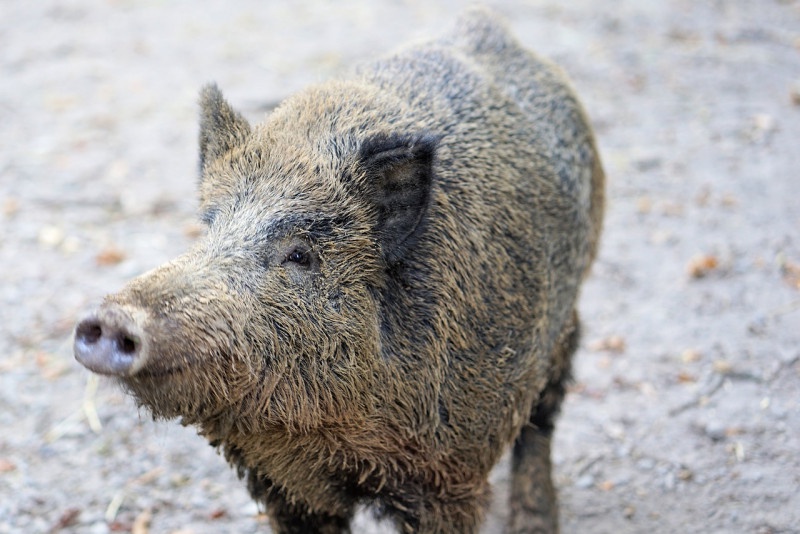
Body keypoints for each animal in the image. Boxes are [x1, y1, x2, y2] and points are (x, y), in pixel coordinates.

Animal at [74, 7, 604, 533]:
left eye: (300, 255)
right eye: (209, 227)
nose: (112, 318)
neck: (327, 441)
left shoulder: (452, 473)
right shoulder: (284, 484)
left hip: (566, 313)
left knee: (544, 413)